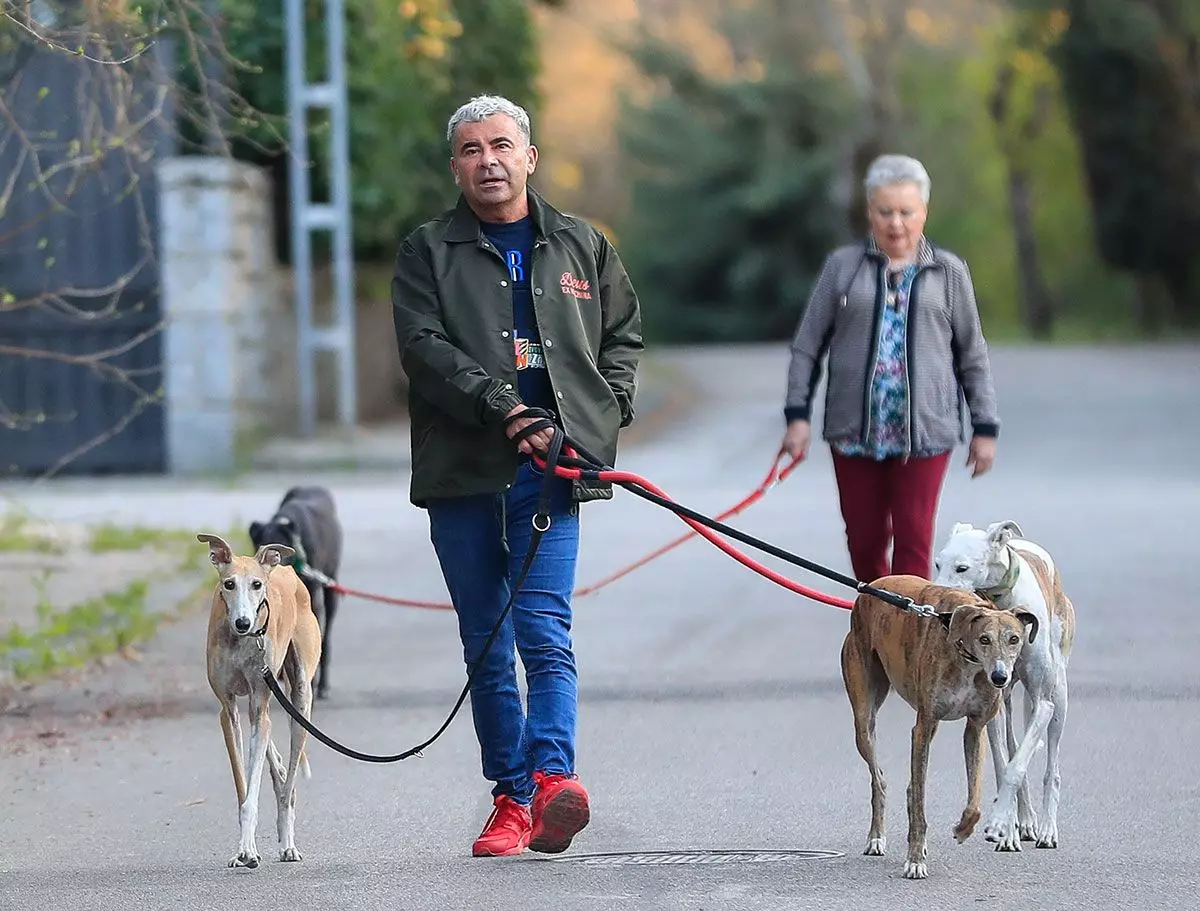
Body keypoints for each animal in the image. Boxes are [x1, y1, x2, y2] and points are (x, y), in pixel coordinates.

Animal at [202, 535, 324, 868]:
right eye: (229, 584)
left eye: (257, 585)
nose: (243, 622)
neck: (242, 641)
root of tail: (288, 570)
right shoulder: (229, 710)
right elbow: (244, 786)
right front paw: (245, 850)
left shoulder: (260, 702)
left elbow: (253, 793)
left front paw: (248, 849)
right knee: (276, 763)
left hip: (300, 701)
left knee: (288, 789)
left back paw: (289, 845)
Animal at [840, 573, 1036, 878]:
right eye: (984, 639)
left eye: (1014, 639)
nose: (1000, 677)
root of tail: (866, 592)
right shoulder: (923, 725)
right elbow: (920, 806)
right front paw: (914, 861)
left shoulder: (975, 727)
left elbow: (974, 800)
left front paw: (962, 829)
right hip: (864, 716)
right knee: (880, 779)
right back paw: (876, 838)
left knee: (911, 788)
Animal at [931, 523, 1075, 849]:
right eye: (937, 564)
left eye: (962, 568)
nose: (936, 601)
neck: (1004, 605)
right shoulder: (991, 704)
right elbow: (1002, 764)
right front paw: (1006, 827)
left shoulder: (1044, 702)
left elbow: (1016, 766)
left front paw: (1000, 822)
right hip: (1007, 701)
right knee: (1011, 744)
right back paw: (1024, 820)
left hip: (1059, 698)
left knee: (1051, 767)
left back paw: (1047, 828)